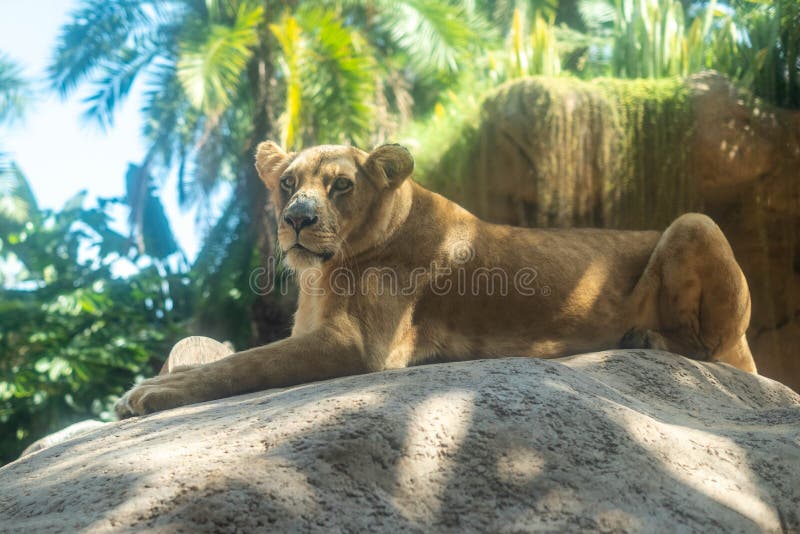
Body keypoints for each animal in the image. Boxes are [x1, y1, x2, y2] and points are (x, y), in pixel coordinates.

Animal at [115, 142, 756, 418]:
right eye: (288, 183)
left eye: (341, 185)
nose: (297, 220)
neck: (323, 273)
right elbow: (238, 356)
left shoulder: (360, 346)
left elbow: (246, 363)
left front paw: (150, 392)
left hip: (695, 223)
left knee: (712, 349)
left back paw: (644, 338)